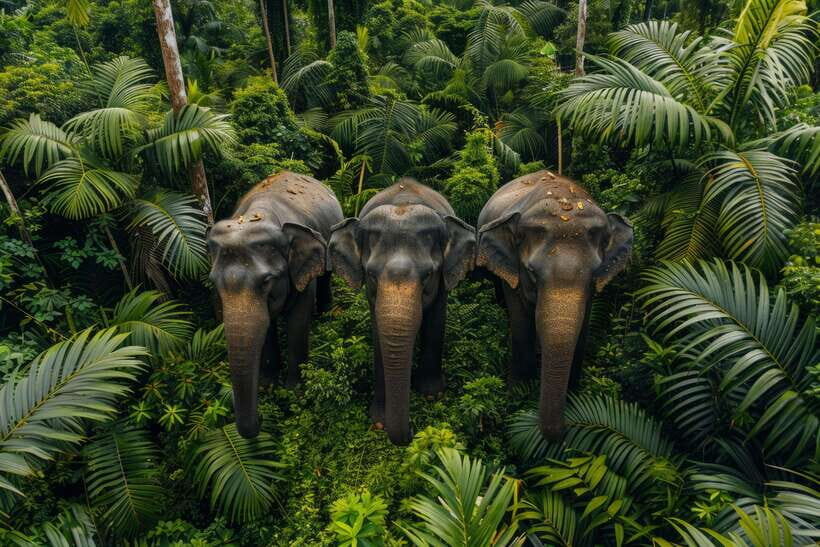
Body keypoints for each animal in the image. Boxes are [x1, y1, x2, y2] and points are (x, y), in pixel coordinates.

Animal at [207, 171, 343, 438]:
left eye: (266, 281)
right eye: (214, 282)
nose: (261, 418)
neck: (257, 216)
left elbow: (298, 321)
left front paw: (293, 391)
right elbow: (267, 326)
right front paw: (268, 384)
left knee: (326, 276)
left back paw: (325, 314)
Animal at [328, 179, 476, 444]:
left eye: (428, 275)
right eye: (372, 275)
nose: (413, 430)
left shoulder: (442, 283)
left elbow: (436, 320)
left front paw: (431, 396)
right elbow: (379, 336)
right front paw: (379, 421)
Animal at [476, 170, 633, 439]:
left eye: (595, 274)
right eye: (531, 273)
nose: (565, 428)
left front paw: (573, 396)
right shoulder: (512, 270)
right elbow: (520, 323)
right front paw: (518, 392)